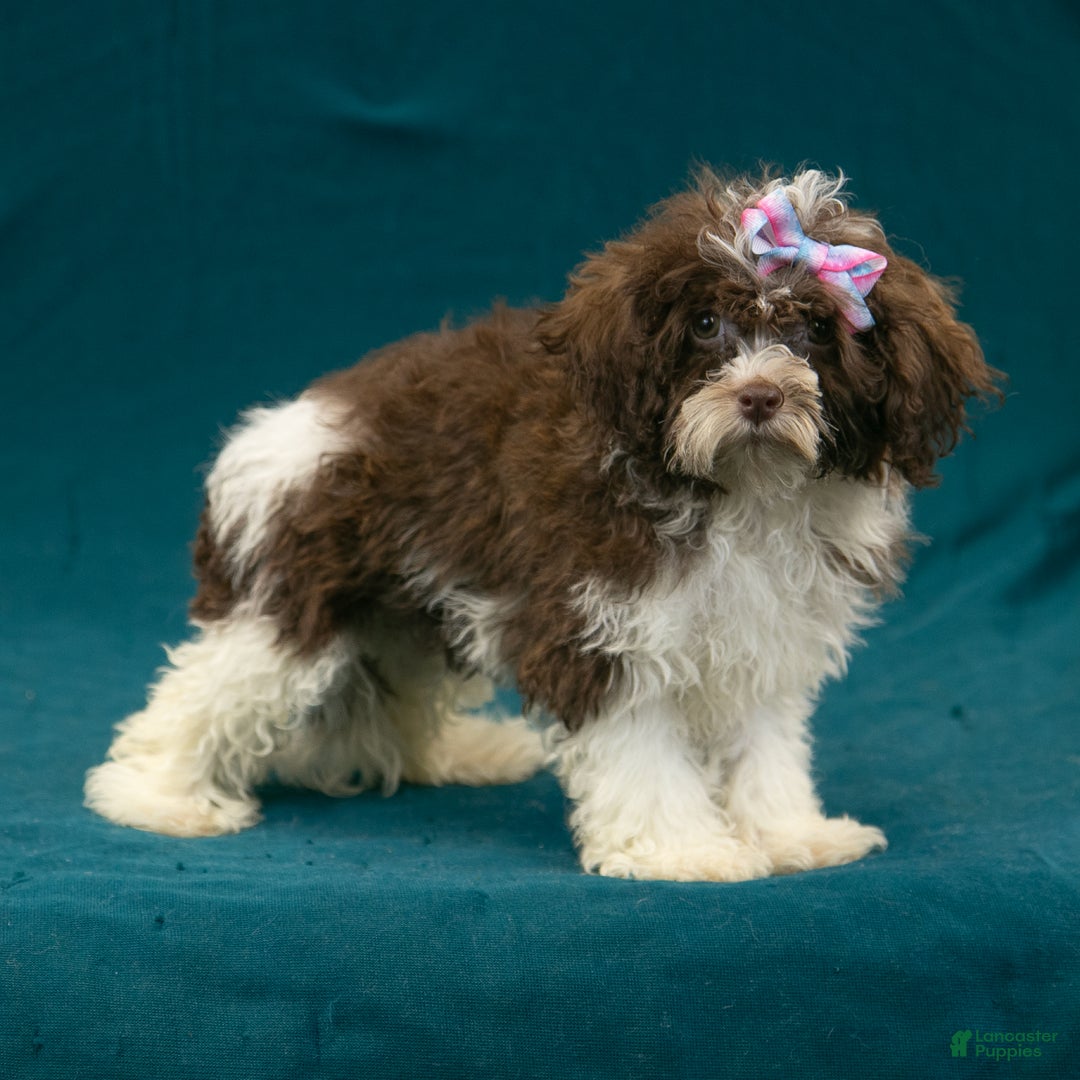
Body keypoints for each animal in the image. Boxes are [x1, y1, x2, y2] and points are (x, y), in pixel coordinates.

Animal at [85, 168, 999, 881]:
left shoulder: (763, 629)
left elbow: (764, 740)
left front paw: (788, 833)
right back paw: (156, 794)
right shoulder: (601, 621)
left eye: (813, 329)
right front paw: (681, 848)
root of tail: (291, 420)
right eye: (706, 325)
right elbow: (641, 742)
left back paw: (453, 756)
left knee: (394, 690)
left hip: (408, 604)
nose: (761, 396)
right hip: (294, 595)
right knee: (207, 689)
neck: (740, 491)